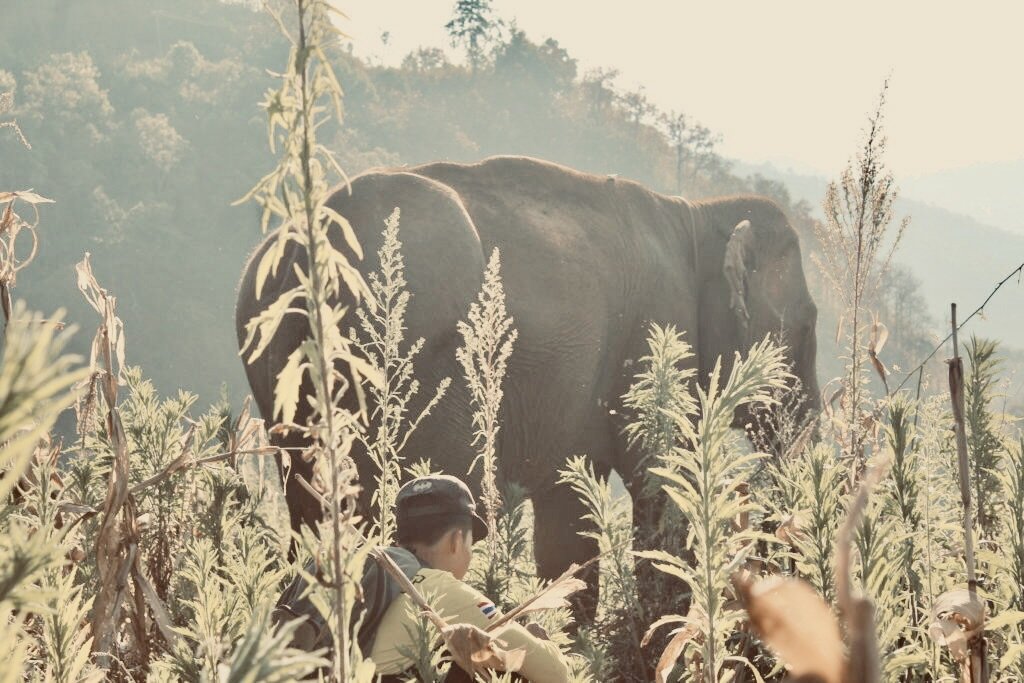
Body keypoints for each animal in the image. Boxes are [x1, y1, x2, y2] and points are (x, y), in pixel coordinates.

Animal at [235, 155, 819, 600]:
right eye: (809, 326)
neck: (694, 217)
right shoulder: (654, 340)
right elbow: (659, 486)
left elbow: (567, 523)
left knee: (307, 516)